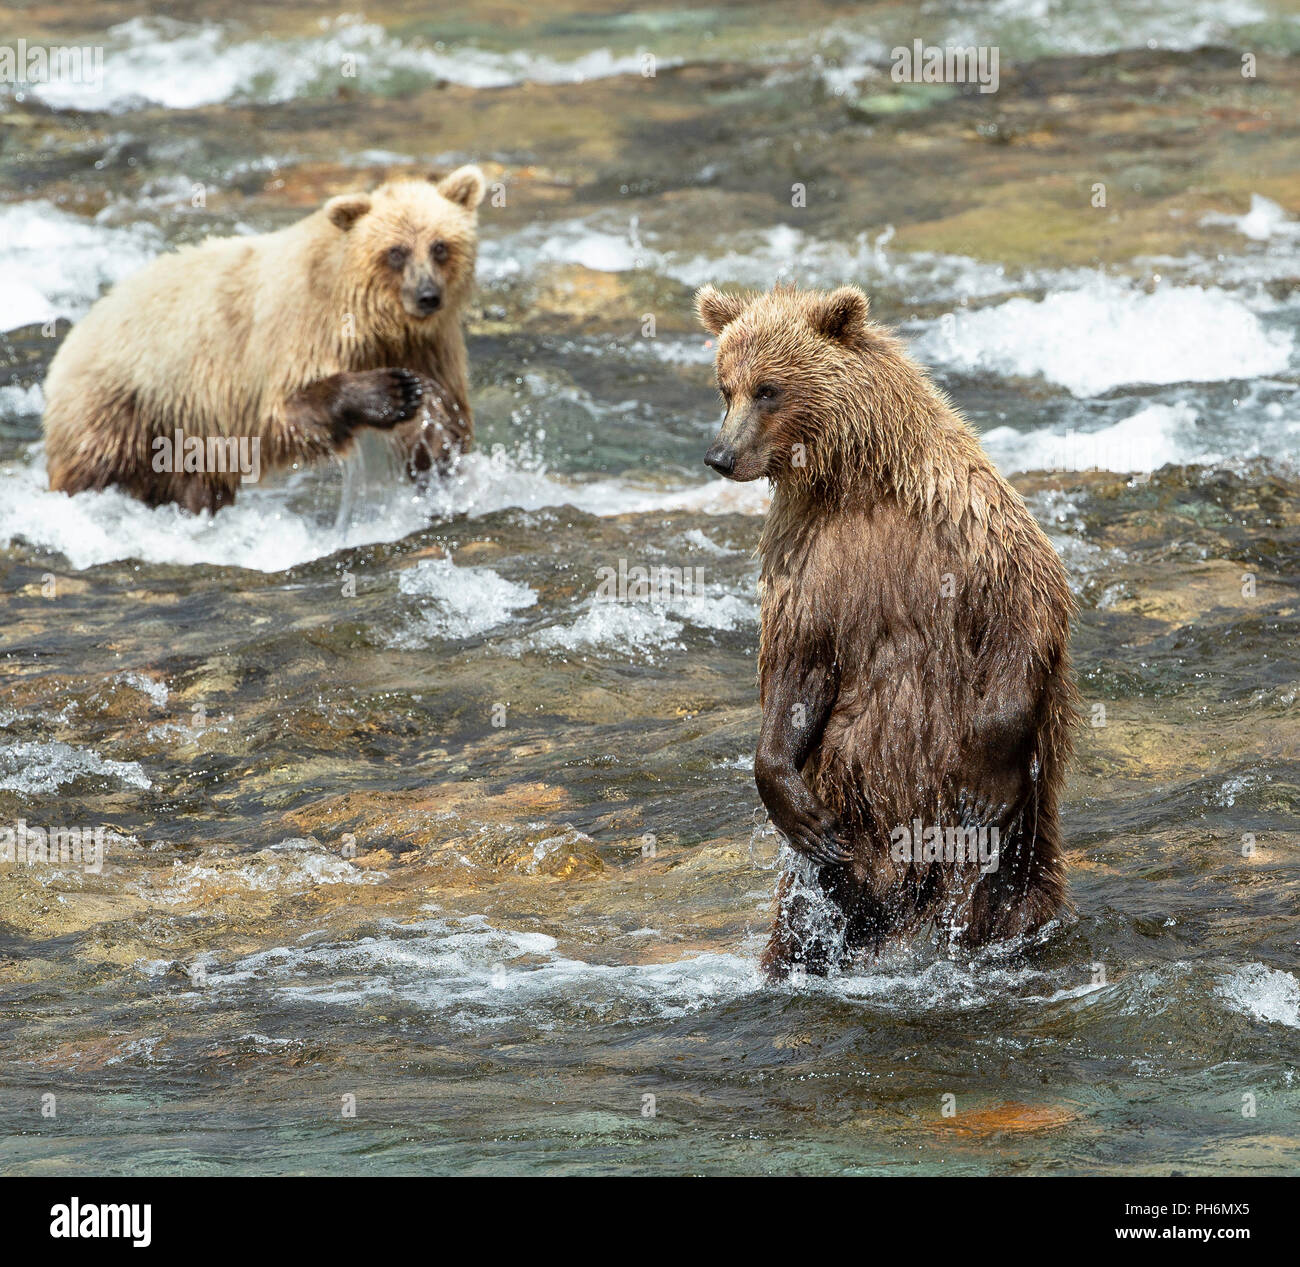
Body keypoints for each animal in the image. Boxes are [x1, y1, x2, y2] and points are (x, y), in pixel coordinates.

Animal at [41, 166, 487, 513]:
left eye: (440, 245)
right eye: (396, 251)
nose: (427, 295)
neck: (373, 320)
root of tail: (79, 327)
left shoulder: (428, 346)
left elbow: (443, 419)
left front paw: (439, 461)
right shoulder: (299, 330)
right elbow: (286, 409)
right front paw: (392, 391)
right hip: (125, 403)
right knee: (93, 467)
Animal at [696, 282, 1078, 980]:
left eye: (769, 388)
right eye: (724, 386)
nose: (721, 455)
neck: (857, 482)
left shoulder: (966, 528)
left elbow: (1025, 620)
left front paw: (984, 785)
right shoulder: (809, 559)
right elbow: (798, 666)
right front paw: (790, 799)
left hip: (1015, 840)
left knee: (1008, 894)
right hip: (848, 827)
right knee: (808, 910)